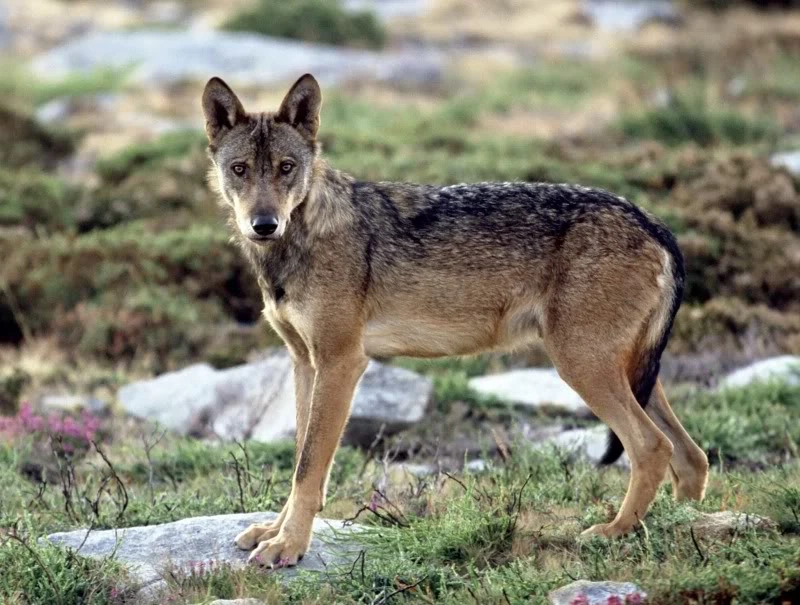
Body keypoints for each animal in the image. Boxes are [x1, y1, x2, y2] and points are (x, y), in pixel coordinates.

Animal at [201, 74, 709, 567]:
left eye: (286, 167)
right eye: (240, 169)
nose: (264, 224)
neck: (297, 241)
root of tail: (653, 222)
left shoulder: (342, 363)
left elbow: (309, 468)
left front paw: (289, 546)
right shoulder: (305, 363)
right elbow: (299, 462)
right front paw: (274, 531)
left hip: (581, 366)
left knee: (653, 447)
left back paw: (615, 531)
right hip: (627, 371)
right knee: (693, 457)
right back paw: (682, 525)